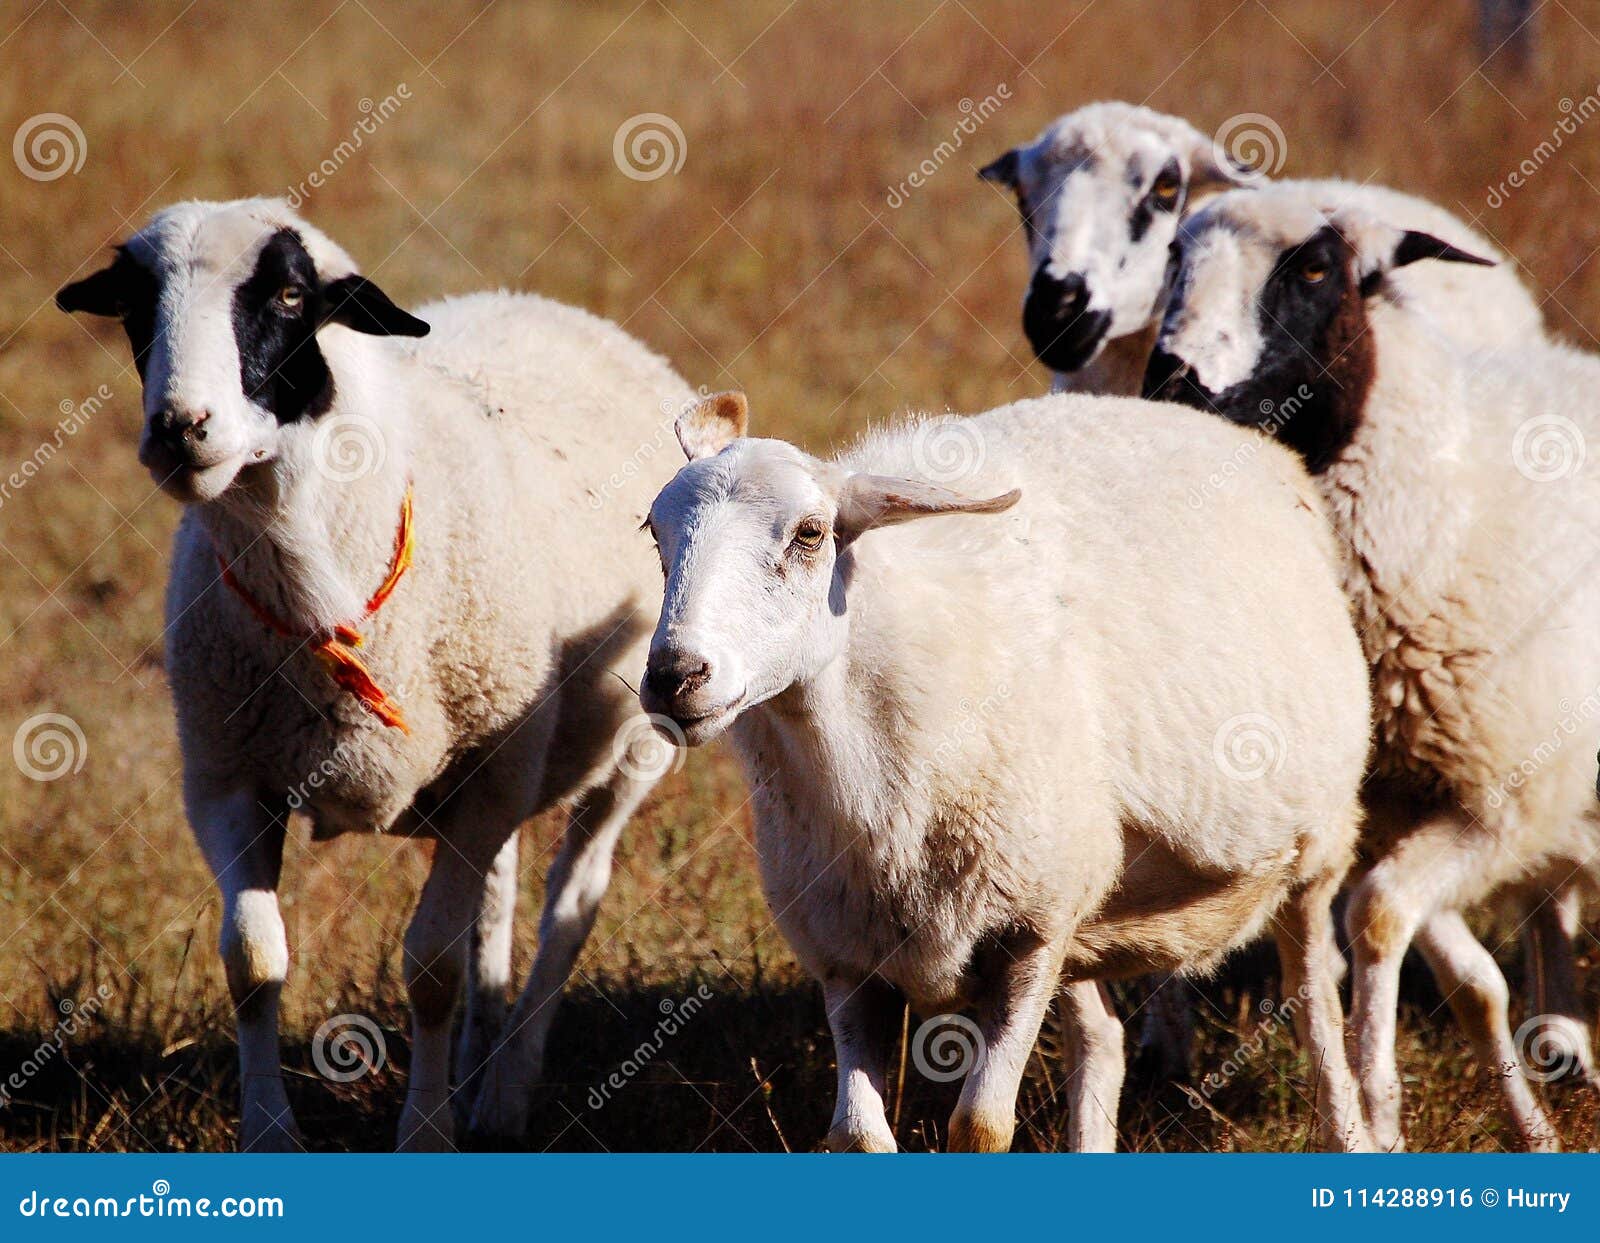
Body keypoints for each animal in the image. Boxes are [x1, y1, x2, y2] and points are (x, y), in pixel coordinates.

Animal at [55, 198, 694, 1151]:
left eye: (289, 295)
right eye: (133, 303)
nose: (179, 430)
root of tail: (553, 306)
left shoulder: (488, 774)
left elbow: (428, 969)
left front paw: (425, 1133)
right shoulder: (225, 775)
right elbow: (253, 959)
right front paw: (269, 1134)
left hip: (624, 748)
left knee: (571, 898)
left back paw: (504, 1091)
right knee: (497, 895)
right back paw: (477, 1065)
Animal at [639, 388, 1375, 1151]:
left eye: (810, 534)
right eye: (656, 536)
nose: (673, 677)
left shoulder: (1029, 937)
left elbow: (981, 1125)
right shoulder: (846, 954)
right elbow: (858, 1136)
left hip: (1311, 854)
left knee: (1318, 1010)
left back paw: (1353, 1126)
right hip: (1079, 886)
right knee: (1102, 1040)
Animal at [1145, 182, 1600, 1149]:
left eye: (1315, 268)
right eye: (1173, 258)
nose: (1172, 379)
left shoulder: (1505, 798)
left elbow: (1380, 916)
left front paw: (1379, 1105)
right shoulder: (1391, 808)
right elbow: (1462, 972)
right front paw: (1523, 1121)